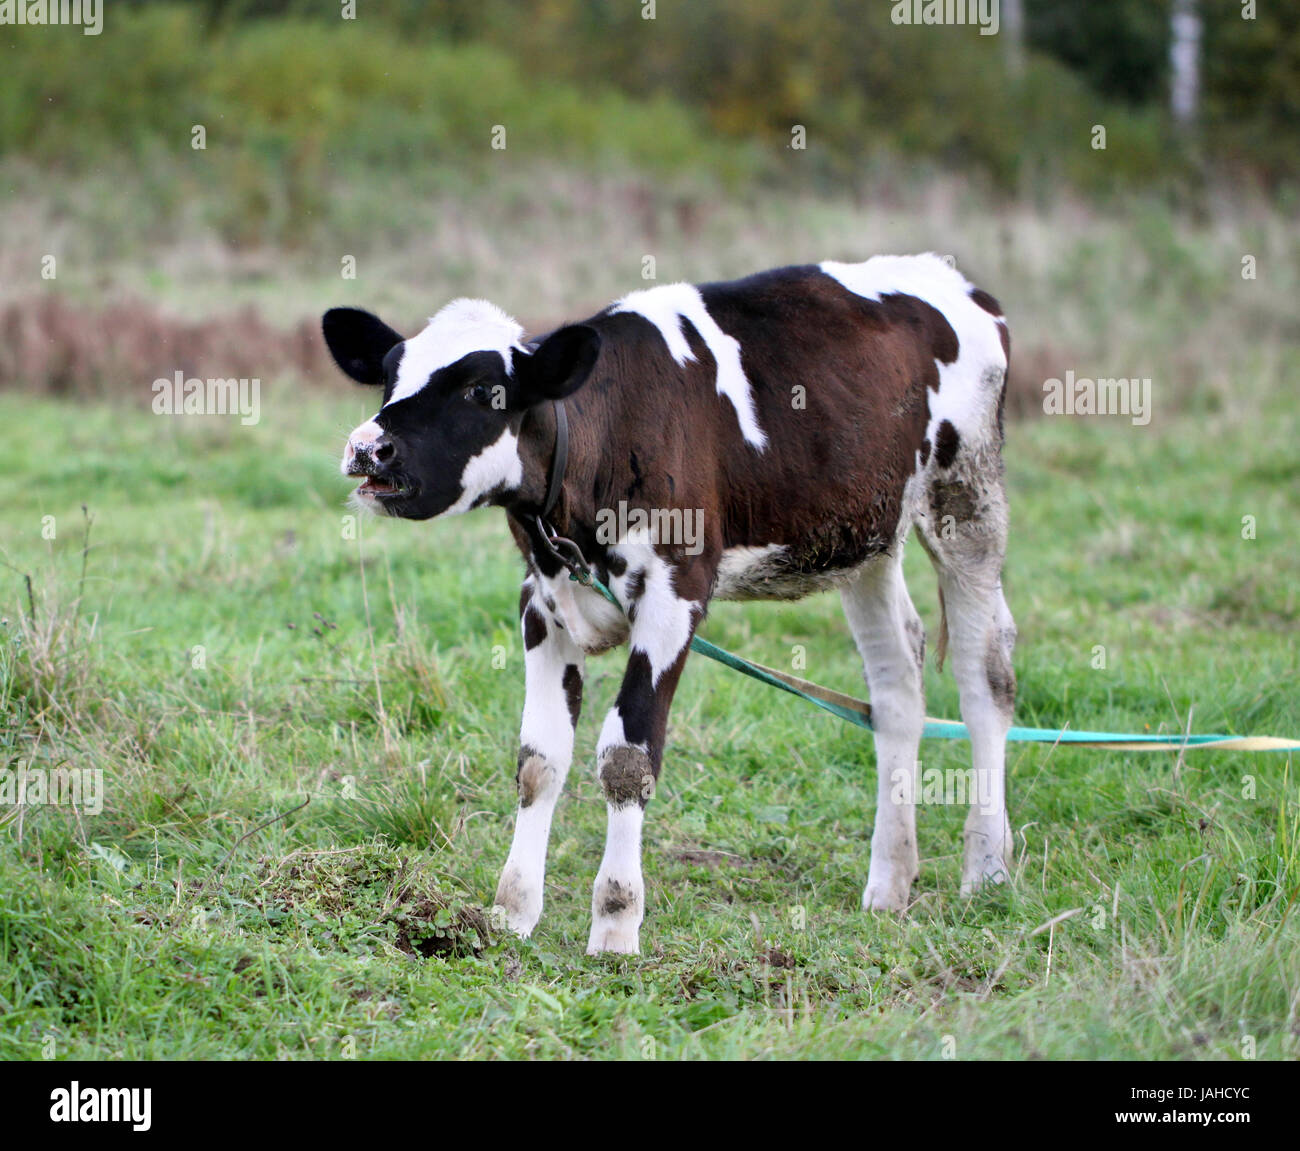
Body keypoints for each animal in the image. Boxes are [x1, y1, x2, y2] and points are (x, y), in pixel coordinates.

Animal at [322, 253, 1016, 955]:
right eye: (389, 376)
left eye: (481, 391)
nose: (367, 448)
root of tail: (954, 279)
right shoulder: (542, 602)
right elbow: (539, 759)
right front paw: (511, 911)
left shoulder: (675, 598)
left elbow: (628, 757)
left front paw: (615, 924)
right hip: (867, 537)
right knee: (898, 680)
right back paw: (890, 882)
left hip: (967, 503)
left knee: (985, 676)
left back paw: (986, 868)